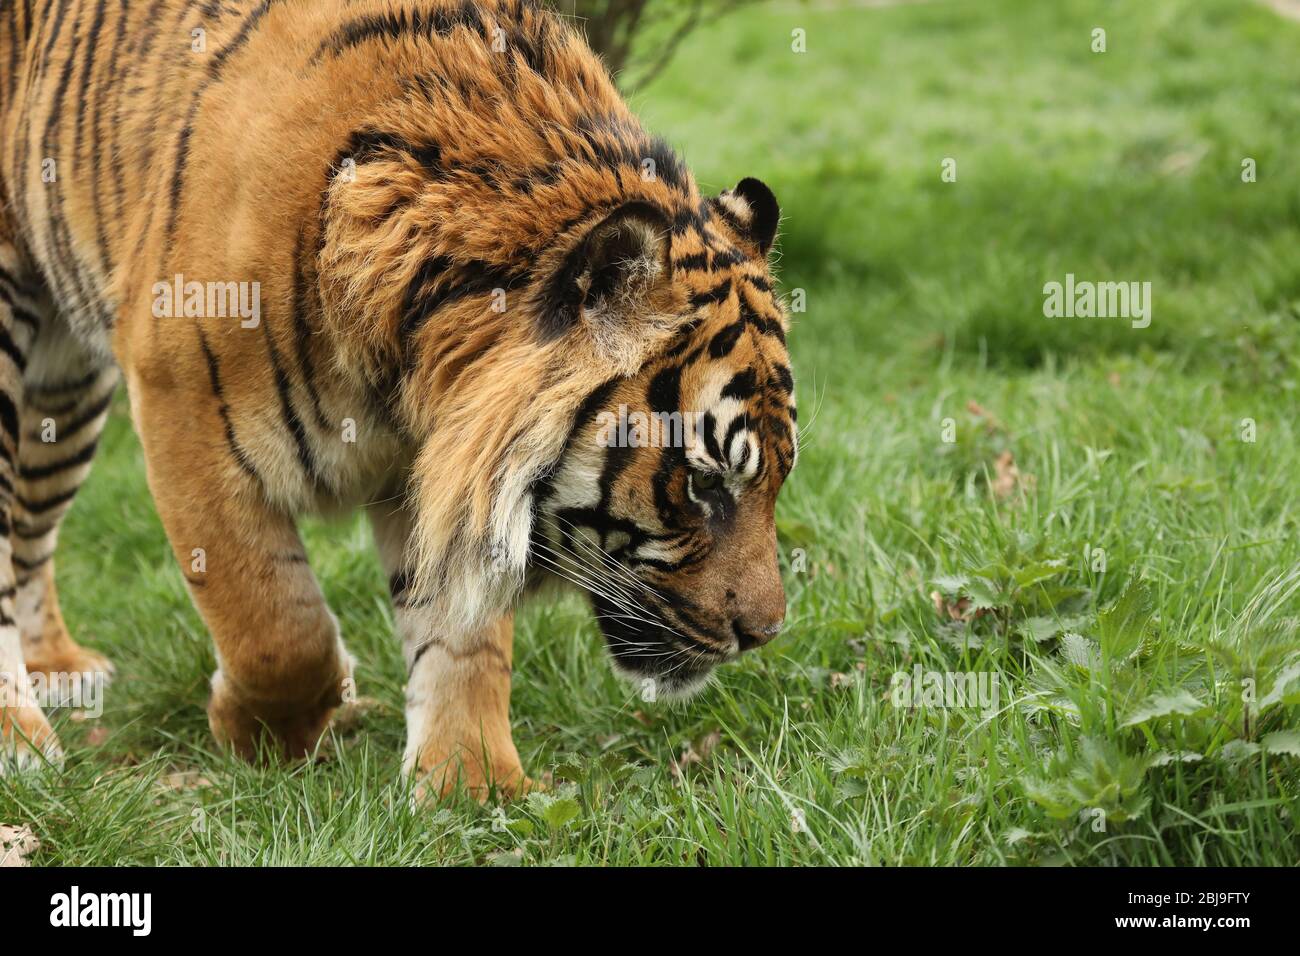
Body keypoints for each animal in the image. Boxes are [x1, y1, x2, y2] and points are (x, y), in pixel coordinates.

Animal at [0, 0, 796, 799]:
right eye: (700, 485)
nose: (766, 635)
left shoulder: (451, 466)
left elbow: (463, 638)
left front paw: (470, 786)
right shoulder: (185, 414)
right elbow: (276, 627)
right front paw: (265, 736)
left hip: (64, 394)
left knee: (28, 539)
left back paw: (59, 670)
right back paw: (20, 740)